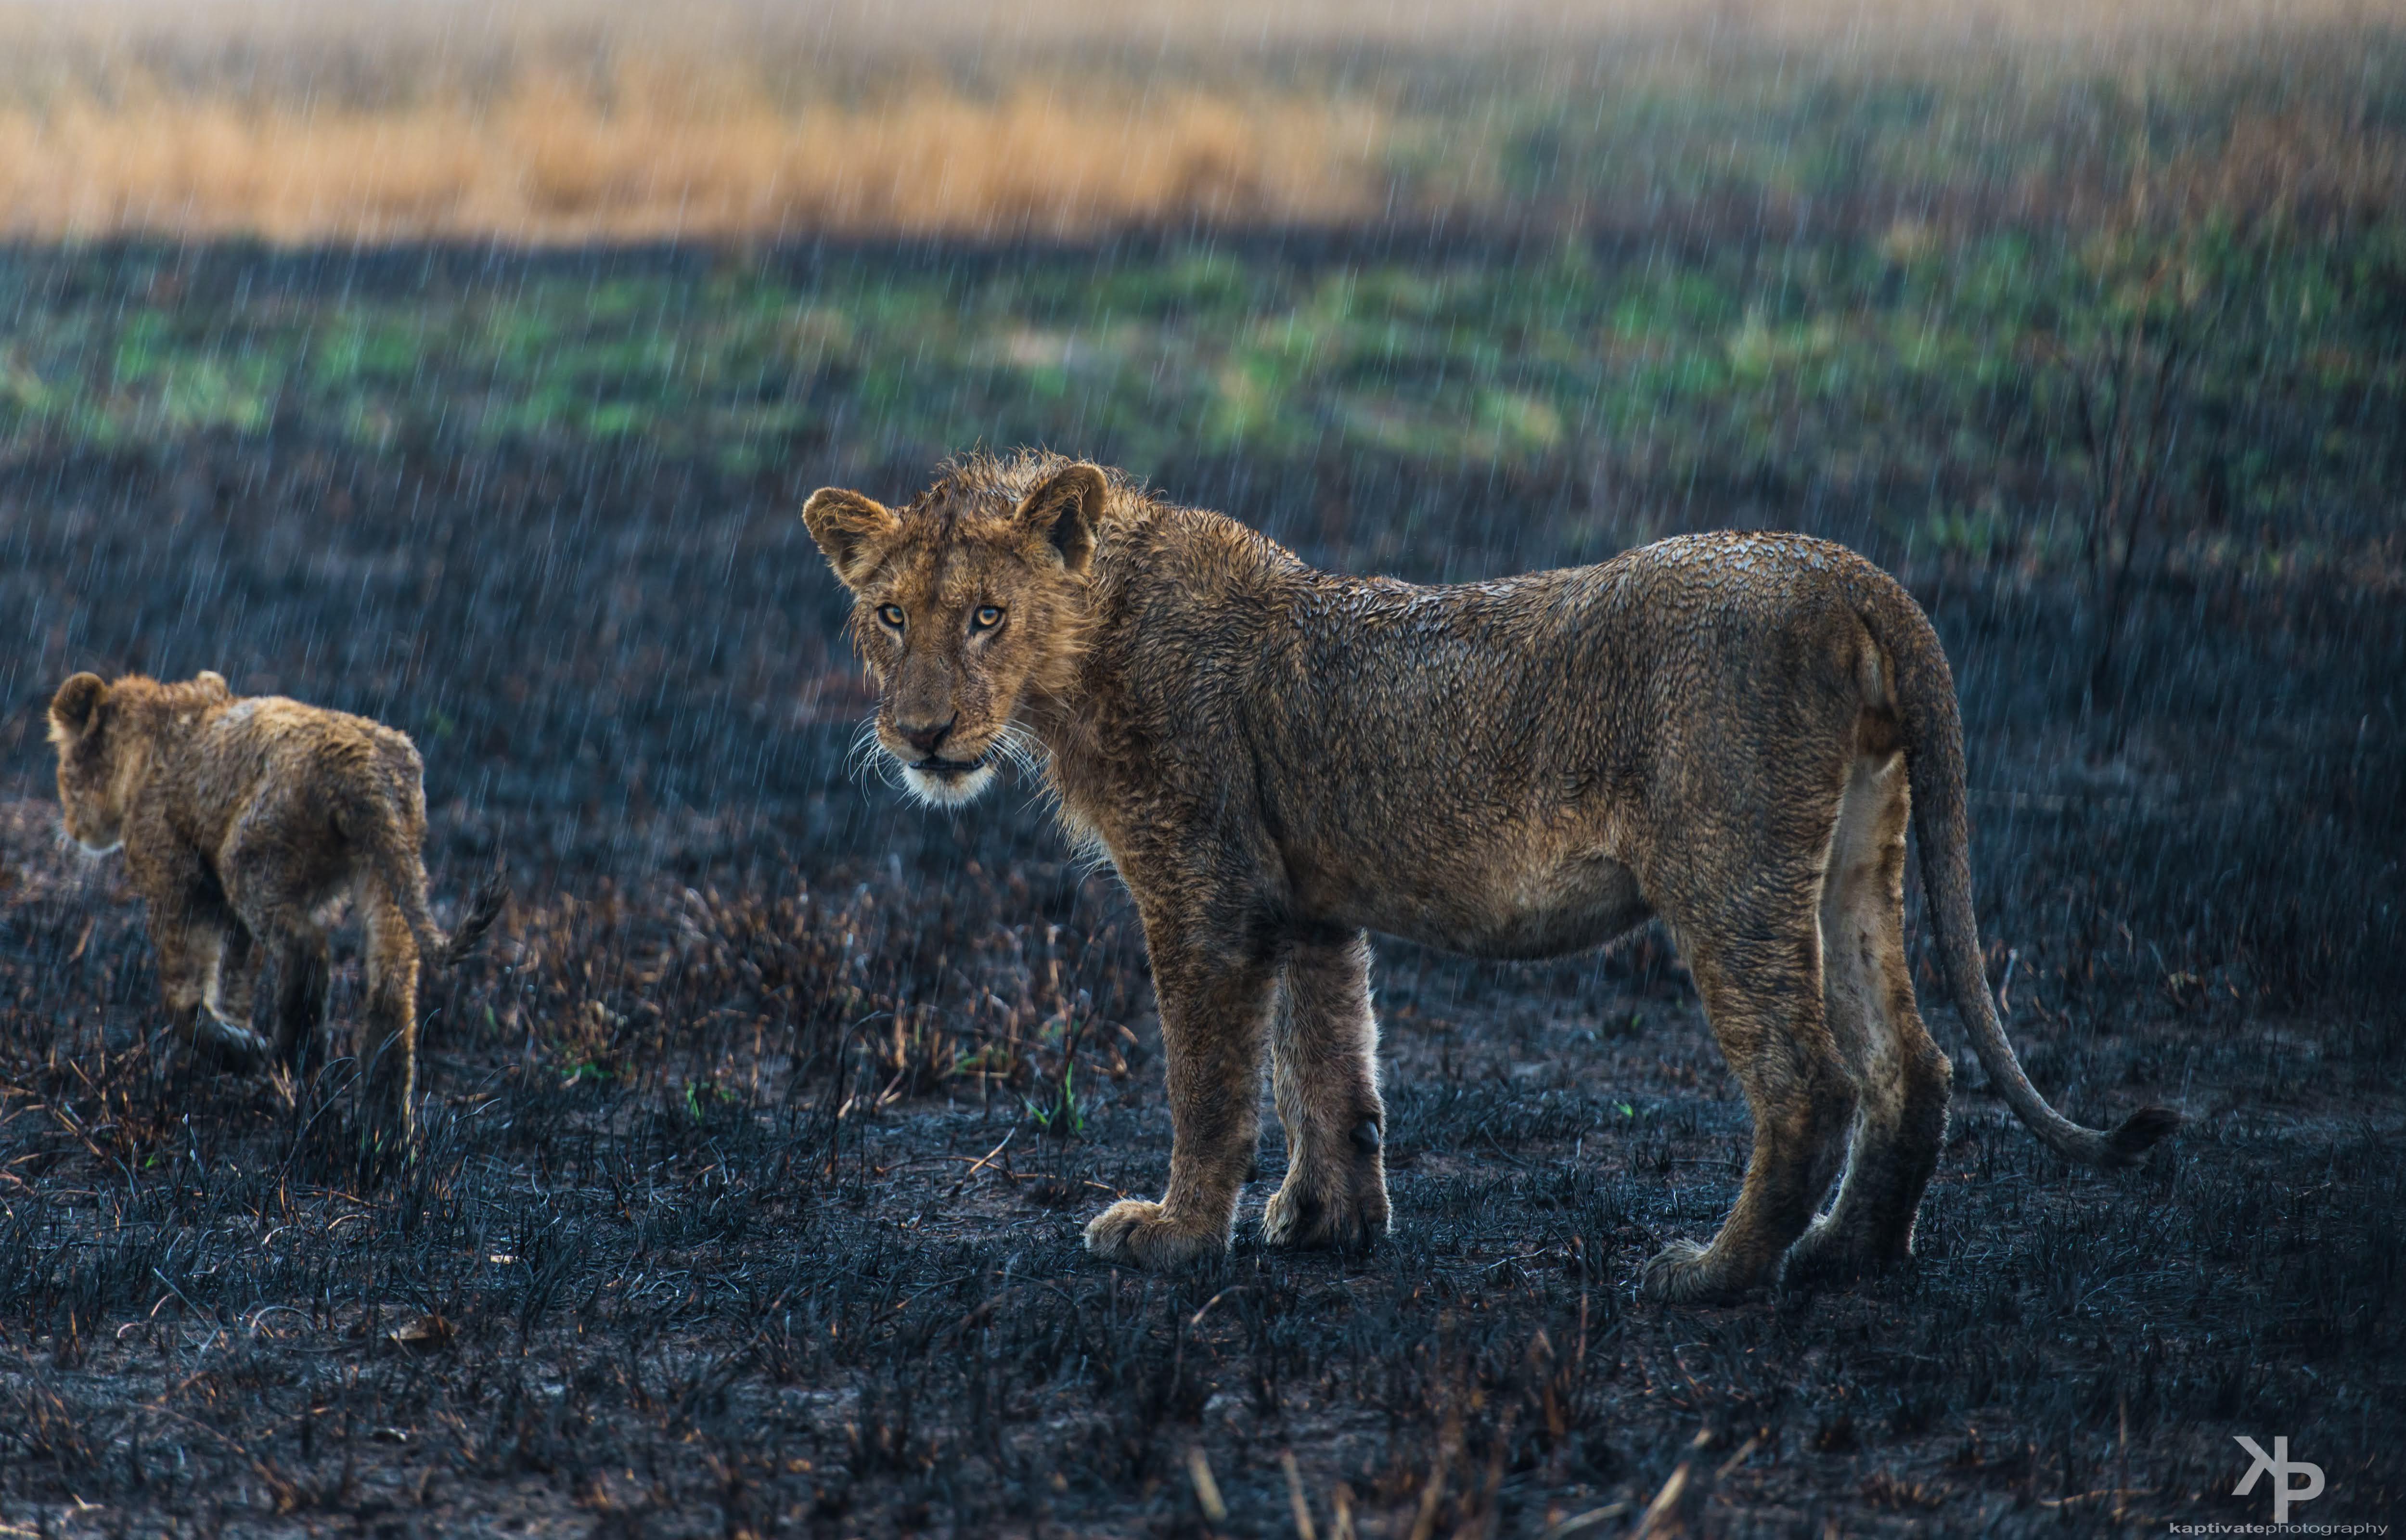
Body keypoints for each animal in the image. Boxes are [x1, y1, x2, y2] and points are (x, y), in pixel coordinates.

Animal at [48, 670, 505, 1159]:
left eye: (65, 771)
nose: (72, 828)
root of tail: (362, 768)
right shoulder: (225, 910)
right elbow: (236, 980)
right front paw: (225, 1050)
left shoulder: (179, 879)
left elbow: (183, 995)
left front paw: (234, 1050)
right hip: (388, 868)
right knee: (391, 996)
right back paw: (384, 1134)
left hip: (249, 859)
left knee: (309, 949)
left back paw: (290, 1054)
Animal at [800, 452, 2178, 1302]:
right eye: (888, 614)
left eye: (985, 615)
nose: (921, 734)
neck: (1088, 642)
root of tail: (1851, 571)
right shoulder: (1307, 898)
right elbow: (1330, 1066)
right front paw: (1329, 1223)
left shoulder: (1203, 885)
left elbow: (1213, 1082)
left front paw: (1179, 1236)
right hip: (1852, 852)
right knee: (1914, 1065)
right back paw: (1849, 1257)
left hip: (1727, 864)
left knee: (1809, 1077)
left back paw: (1713, 1274)